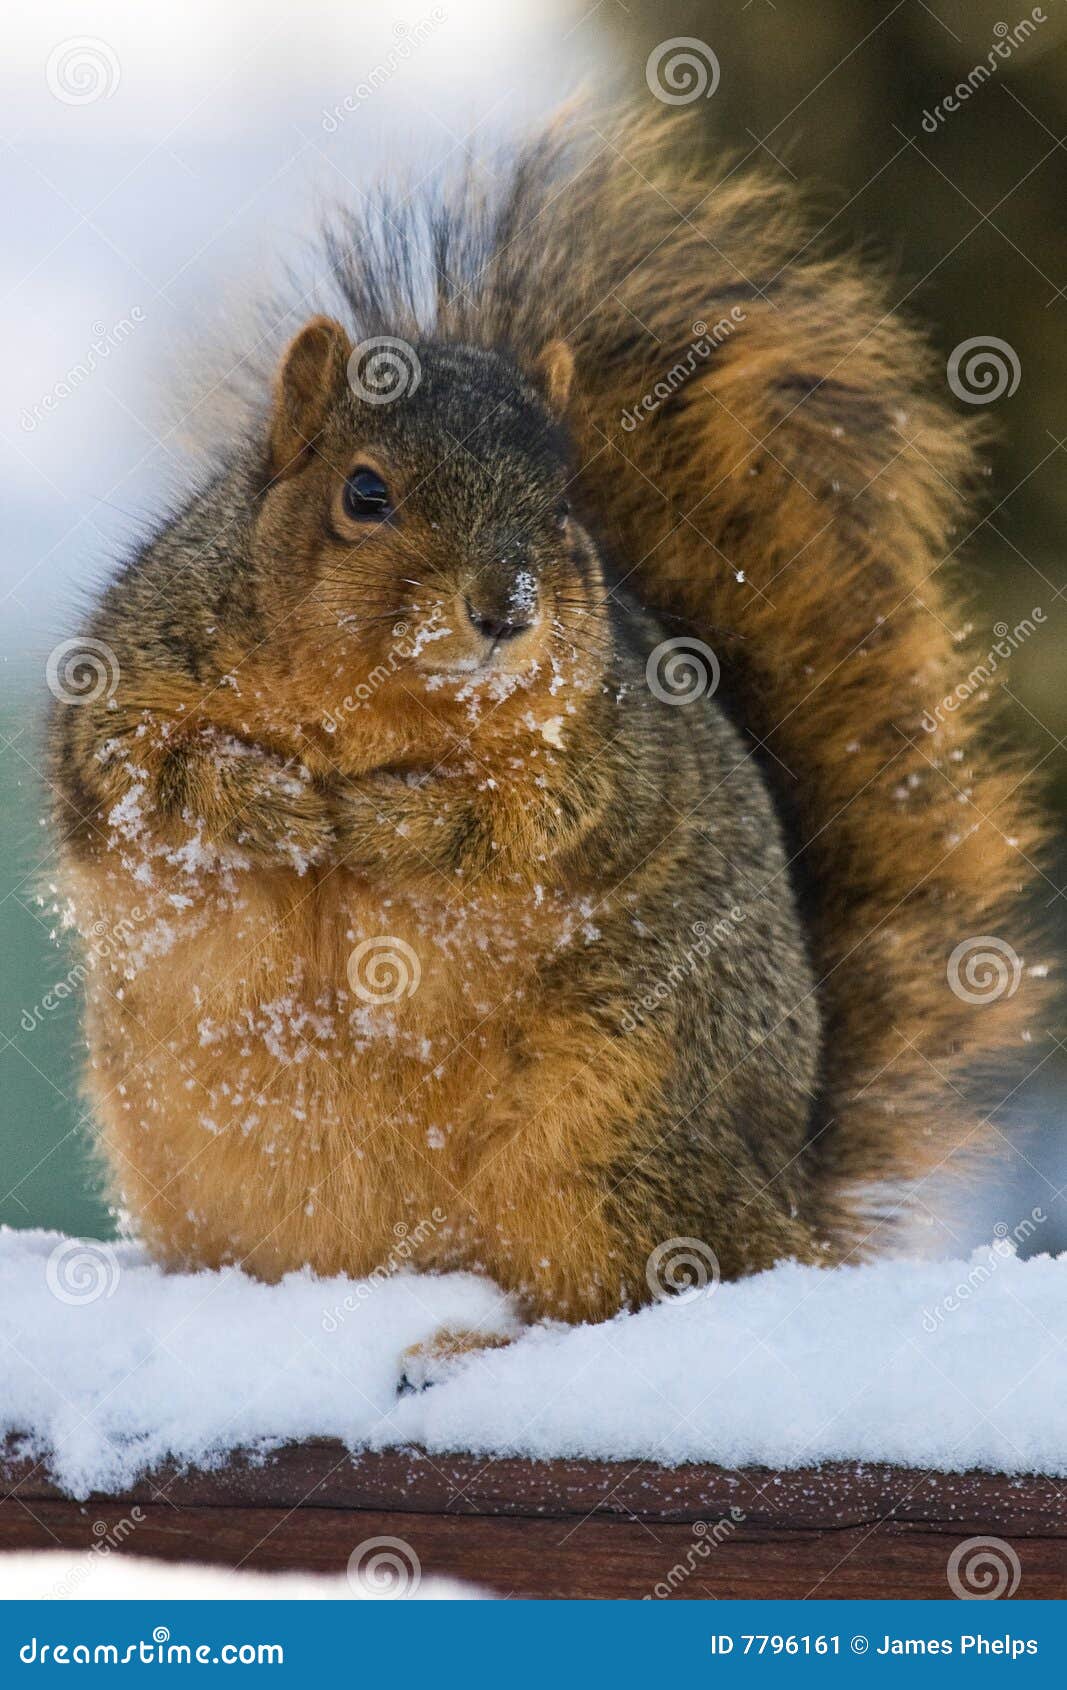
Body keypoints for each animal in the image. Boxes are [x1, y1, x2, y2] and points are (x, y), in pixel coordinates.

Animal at [48, 107, 1048, 1330]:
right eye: (363, 493)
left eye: (564, 507)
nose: (506, 610)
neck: (368, 710)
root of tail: (785, 1199)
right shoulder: (134, 678)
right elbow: (136, 776)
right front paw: (270, 803)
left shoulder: (610, 763)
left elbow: (524, 826)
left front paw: (382, 822)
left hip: (617, 1140)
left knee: (625, 1288)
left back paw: (472, 1341)